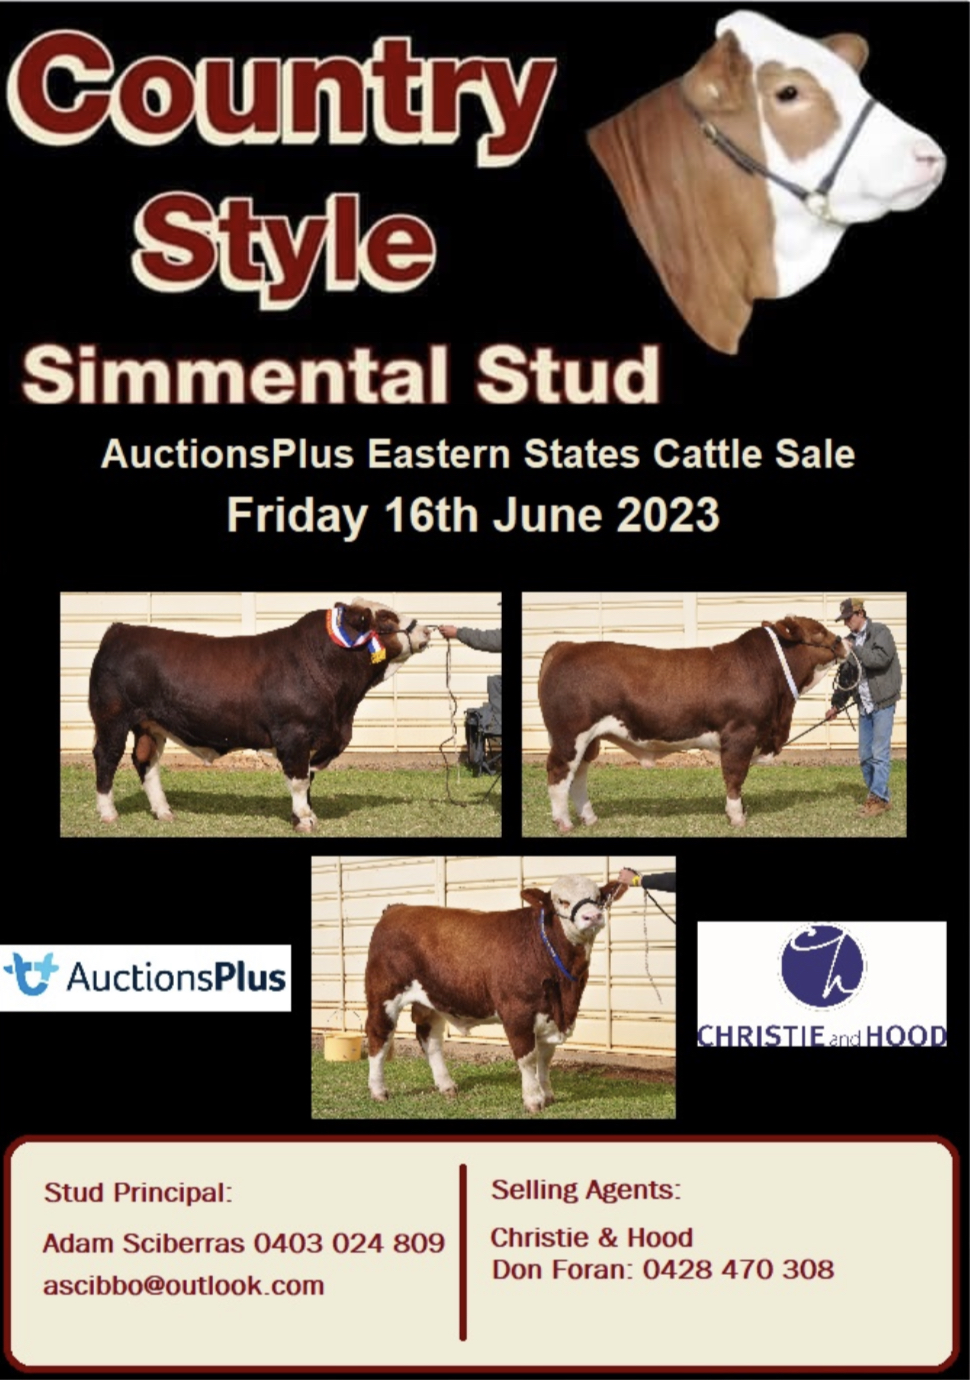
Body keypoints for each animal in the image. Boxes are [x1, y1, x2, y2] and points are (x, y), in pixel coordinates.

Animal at [88, 598, 432, 830]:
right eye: (386, 618)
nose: (426, 629)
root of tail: (120, 630)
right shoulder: (294, 734)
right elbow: (299, 781)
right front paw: (303, 821)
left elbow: (308, 779)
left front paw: (308, 814)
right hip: (112, 719)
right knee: (107, 758)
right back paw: (108, 813)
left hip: (150, 724)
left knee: (146, 762)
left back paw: (163, 811)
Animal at [365, 874, 628, 1113]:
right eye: (562, 900)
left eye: (598, 898)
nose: (592, 916)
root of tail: (398, 909)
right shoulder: (517, 1013)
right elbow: (528, 1058)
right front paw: (533, 1100)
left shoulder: (552, 1015)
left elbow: (545, 1057)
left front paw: (548, 1094)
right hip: (382, 996)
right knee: (378, 1036)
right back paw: (378, 1091)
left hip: (431, 1000)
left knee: (430, 1040)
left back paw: (446, 1085)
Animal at [539, 615, 847, 831]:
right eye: (819, 630)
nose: (844, 642)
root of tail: (565, 646)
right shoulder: (740, 734)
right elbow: (735, 777)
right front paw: (737, 818)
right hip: (570, 734)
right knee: (558, 773)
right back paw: (564, 823)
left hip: (588, 740)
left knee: (578, 775)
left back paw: (590, 818)